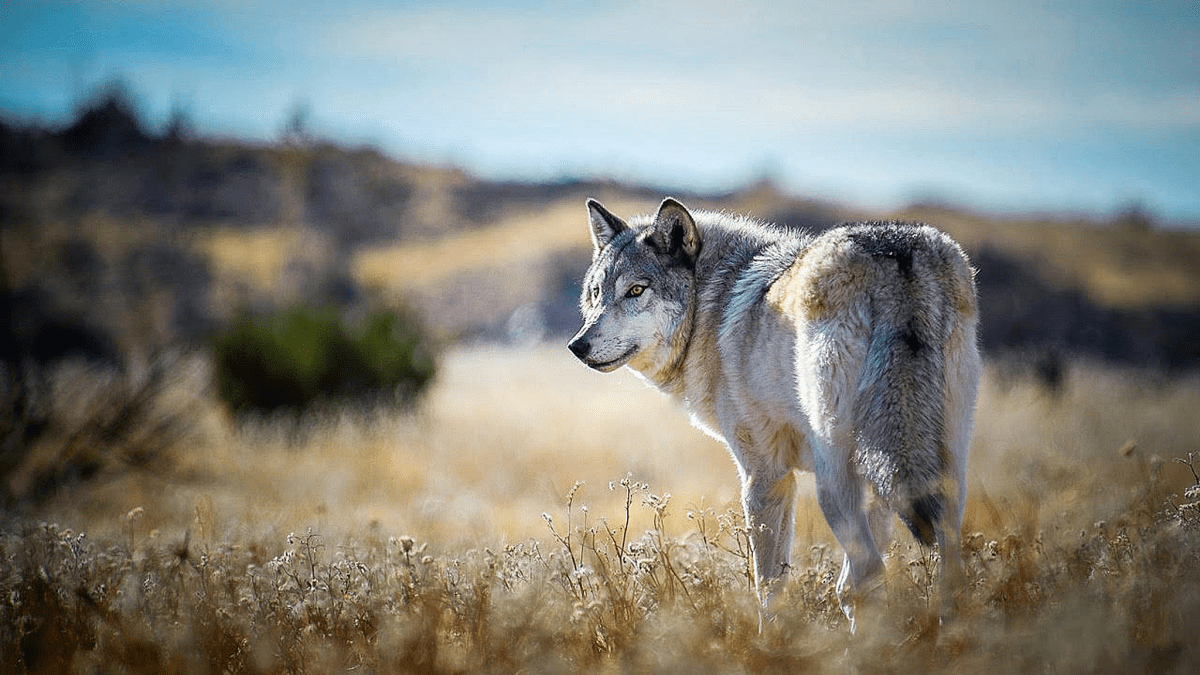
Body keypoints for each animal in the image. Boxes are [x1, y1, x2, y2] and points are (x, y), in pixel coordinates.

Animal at [568, 197, 981, 628]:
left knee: (868, 572)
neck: (709, 308)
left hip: (834, 478)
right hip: (942, 472)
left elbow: (768, 587)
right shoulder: (829, 484)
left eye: (635, 290)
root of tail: (895, 254)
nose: (578, 345)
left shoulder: (765, 477)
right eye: (596, 293)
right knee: (940, 569)